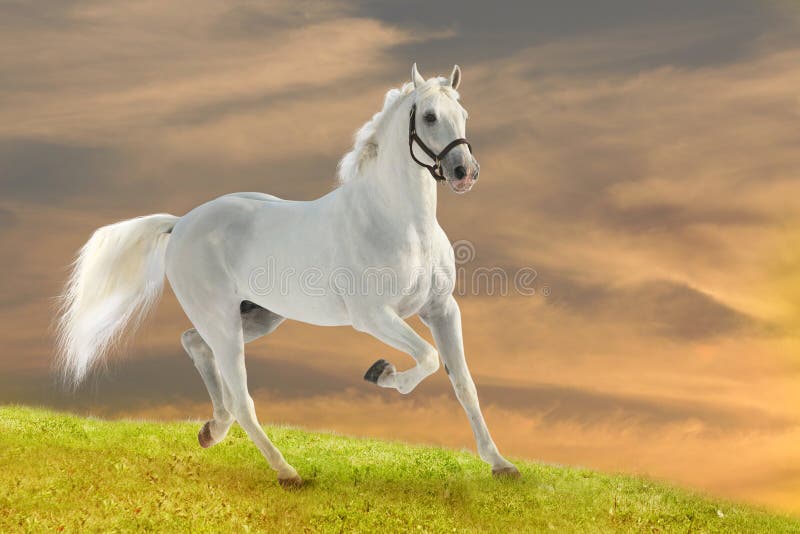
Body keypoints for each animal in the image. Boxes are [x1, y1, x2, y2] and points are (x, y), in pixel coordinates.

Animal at [56, 64, 520, 488]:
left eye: (464, 113)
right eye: (428, 116)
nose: (464, 172)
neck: (400, 222)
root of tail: (183, 222)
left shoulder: (442, 309)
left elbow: (463, 383)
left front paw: (501, 465)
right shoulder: (373, 316)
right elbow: (427, 358)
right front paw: (381, 372)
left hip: (258, 316)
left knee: (195, 345)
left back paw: (212, 430)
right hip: (222, 321)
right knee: (243, 398)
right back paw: (286, 471)